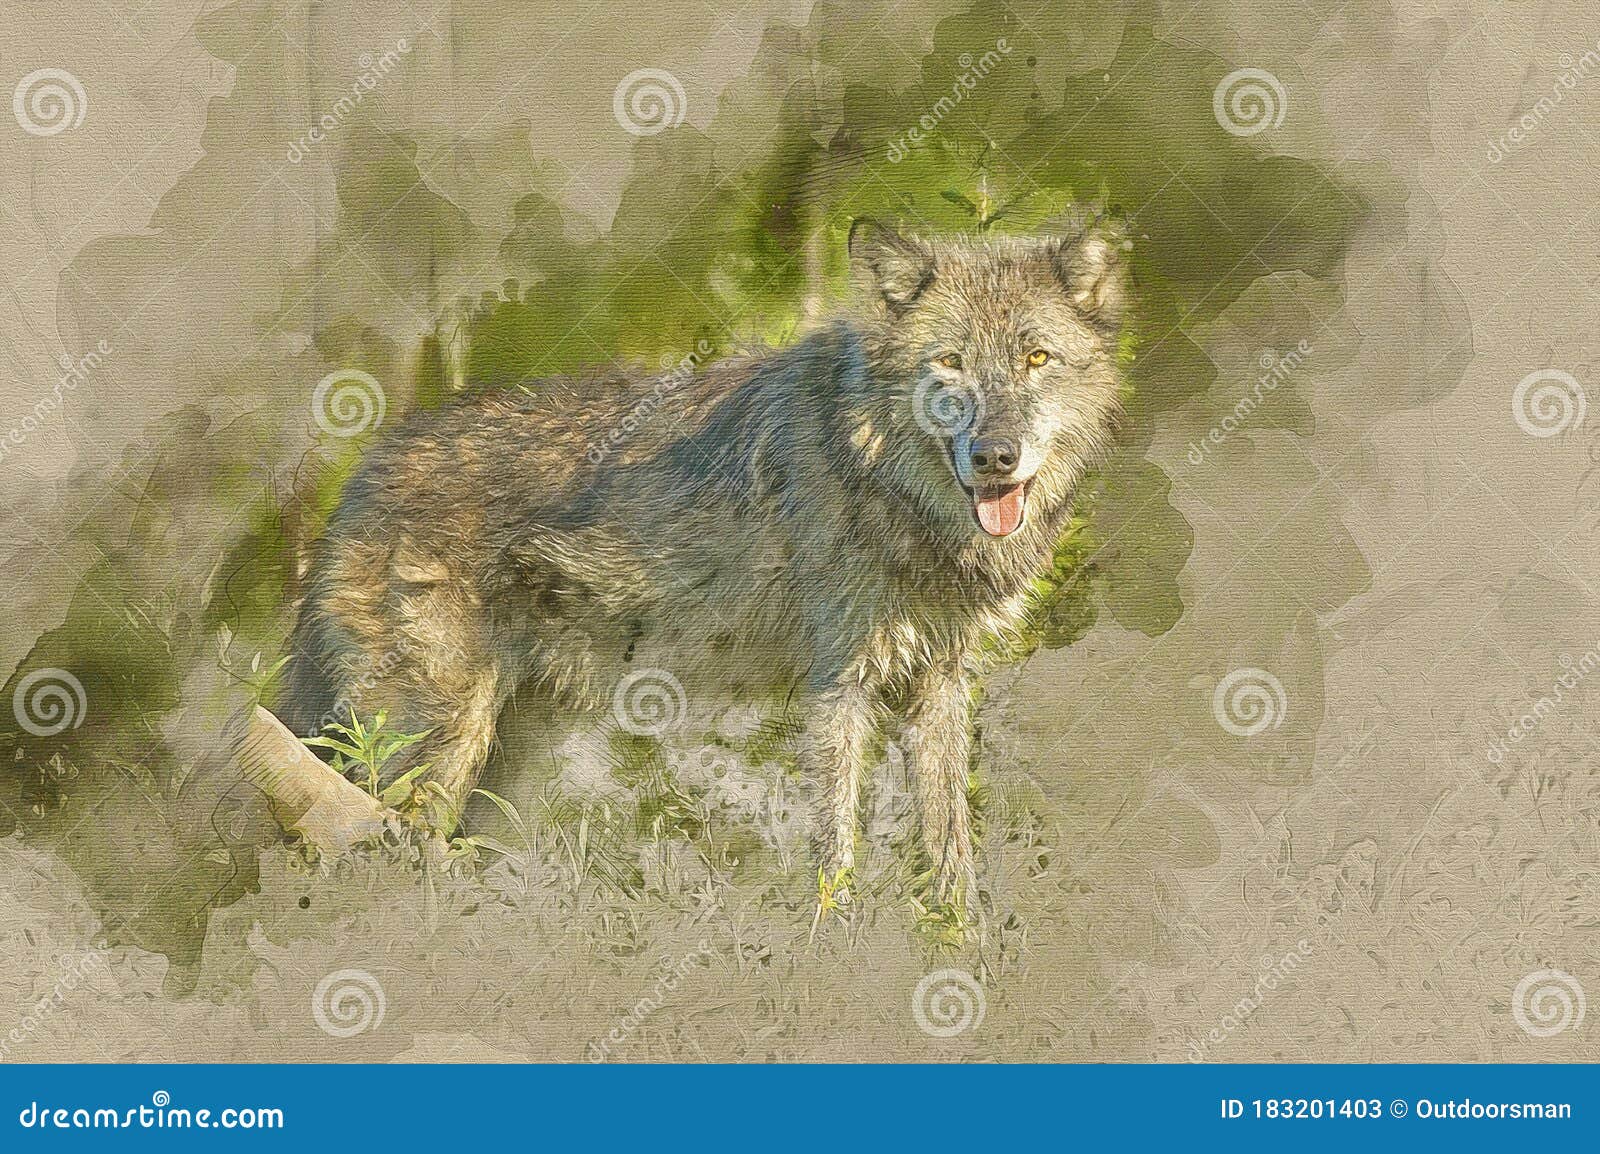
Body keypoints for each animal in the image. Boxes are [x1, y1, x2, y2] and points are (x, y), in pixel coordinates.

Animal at [281, 214, 1130, 909]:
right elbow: (836, 852)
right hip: (435, 743)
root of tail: (363, 474)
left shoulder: (942, 680)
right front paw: (844, 957)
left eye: (1037, 358)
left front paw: (958, 950)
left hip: (500, 766)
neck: (890, 490)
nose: (995, 457)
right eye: (949, 362)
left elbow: (952, 845)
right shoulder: (841, 683)